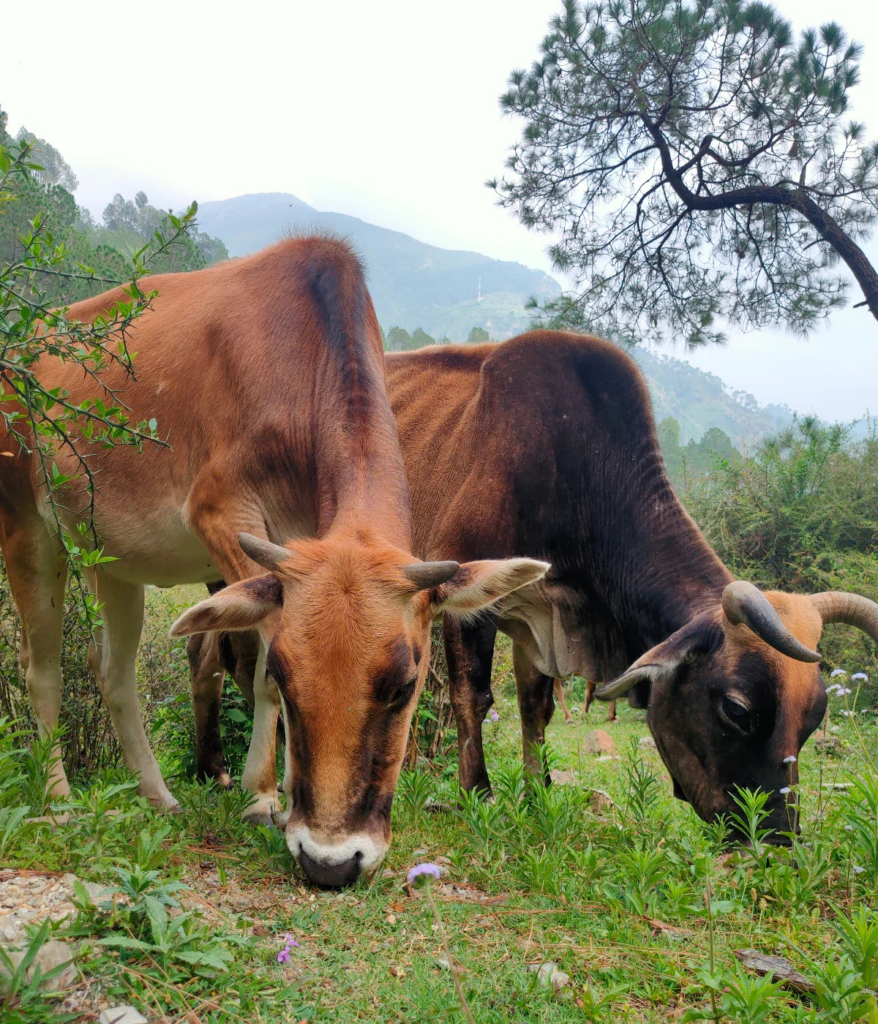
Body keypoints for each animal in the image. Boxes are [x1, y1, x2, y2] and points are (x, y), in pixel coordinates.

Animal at [0, 238, 547, 887]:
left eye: (405, 685)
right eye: (291, 680)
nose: (330, 862)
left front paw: (276, 795)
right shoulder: (220, 512)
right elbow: (258, 657)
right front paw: (261, 795)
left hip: (112, 563)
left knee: (112, 670)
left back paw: (157, 794)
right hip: (26, 528)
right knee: (43, 668)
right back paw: (59, 798)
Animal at [189, 330, 878, 847]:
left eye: (815, 716)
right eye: (736, 709)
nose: (778, 839)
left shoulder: (537, 616)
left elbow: (534, 708)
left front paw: (536, 791)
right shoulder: (471, 600)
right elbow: (473, 697)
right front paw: (477, 792)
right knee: (214, 657)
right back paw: (217, 771)